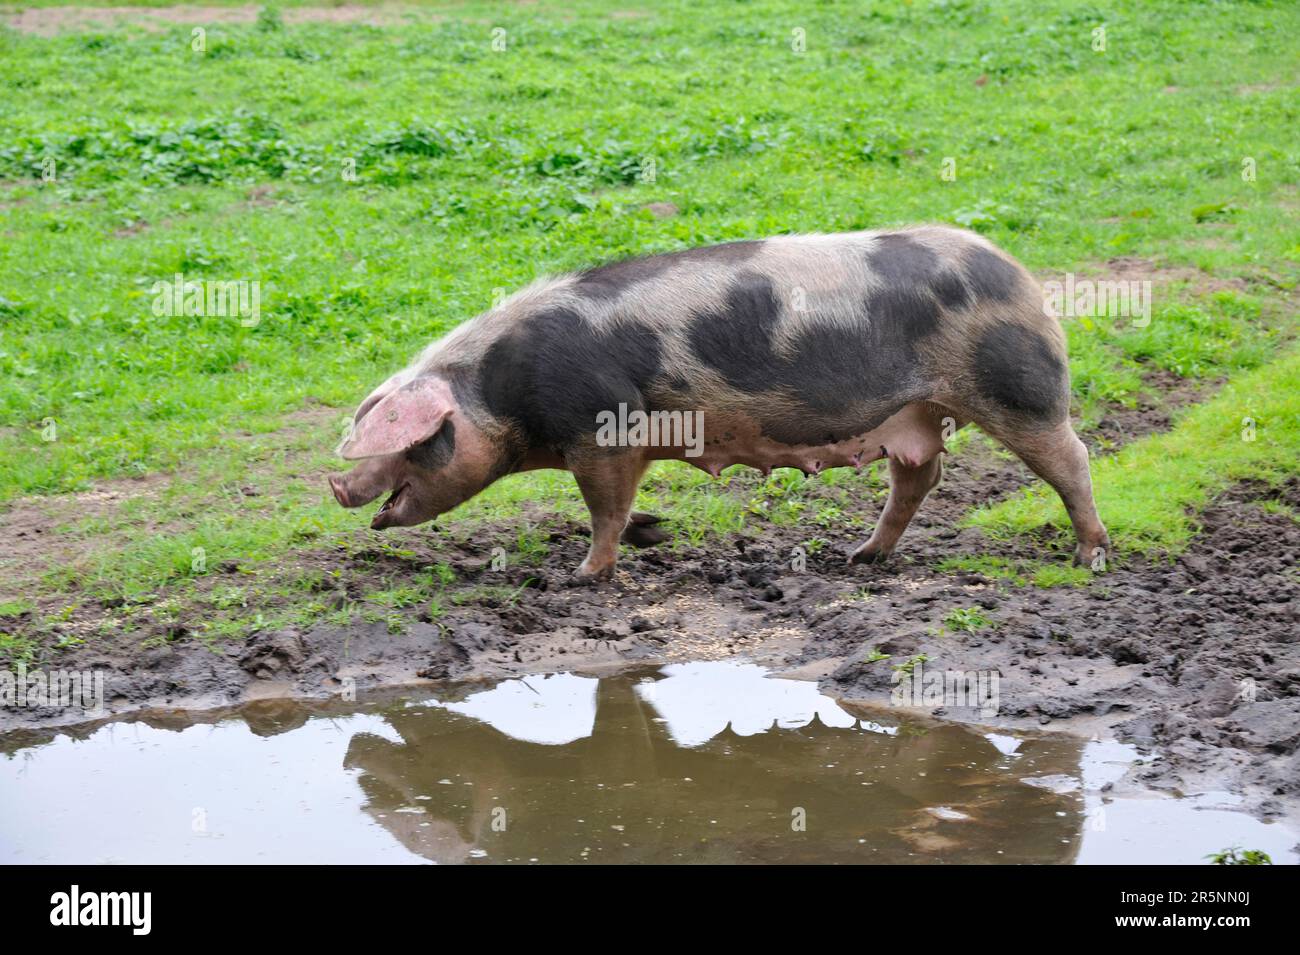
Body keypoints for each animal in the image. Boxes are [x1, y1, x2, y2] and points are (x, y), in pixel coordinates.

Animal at [329, 226, 1109, 580]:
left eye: (409, 440)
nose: (338, 484)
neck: (498, 390)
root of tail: (1017, 272)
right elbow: (624, 506)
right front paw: (655, 531)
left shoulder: (604, 427)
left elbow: (603, 507)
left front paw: (584, 574)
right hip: (913, 414)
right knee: (920, 476)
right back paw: (859, 557)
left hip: (1018, 388)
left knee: (1072, 457)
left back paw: (1090, 558)